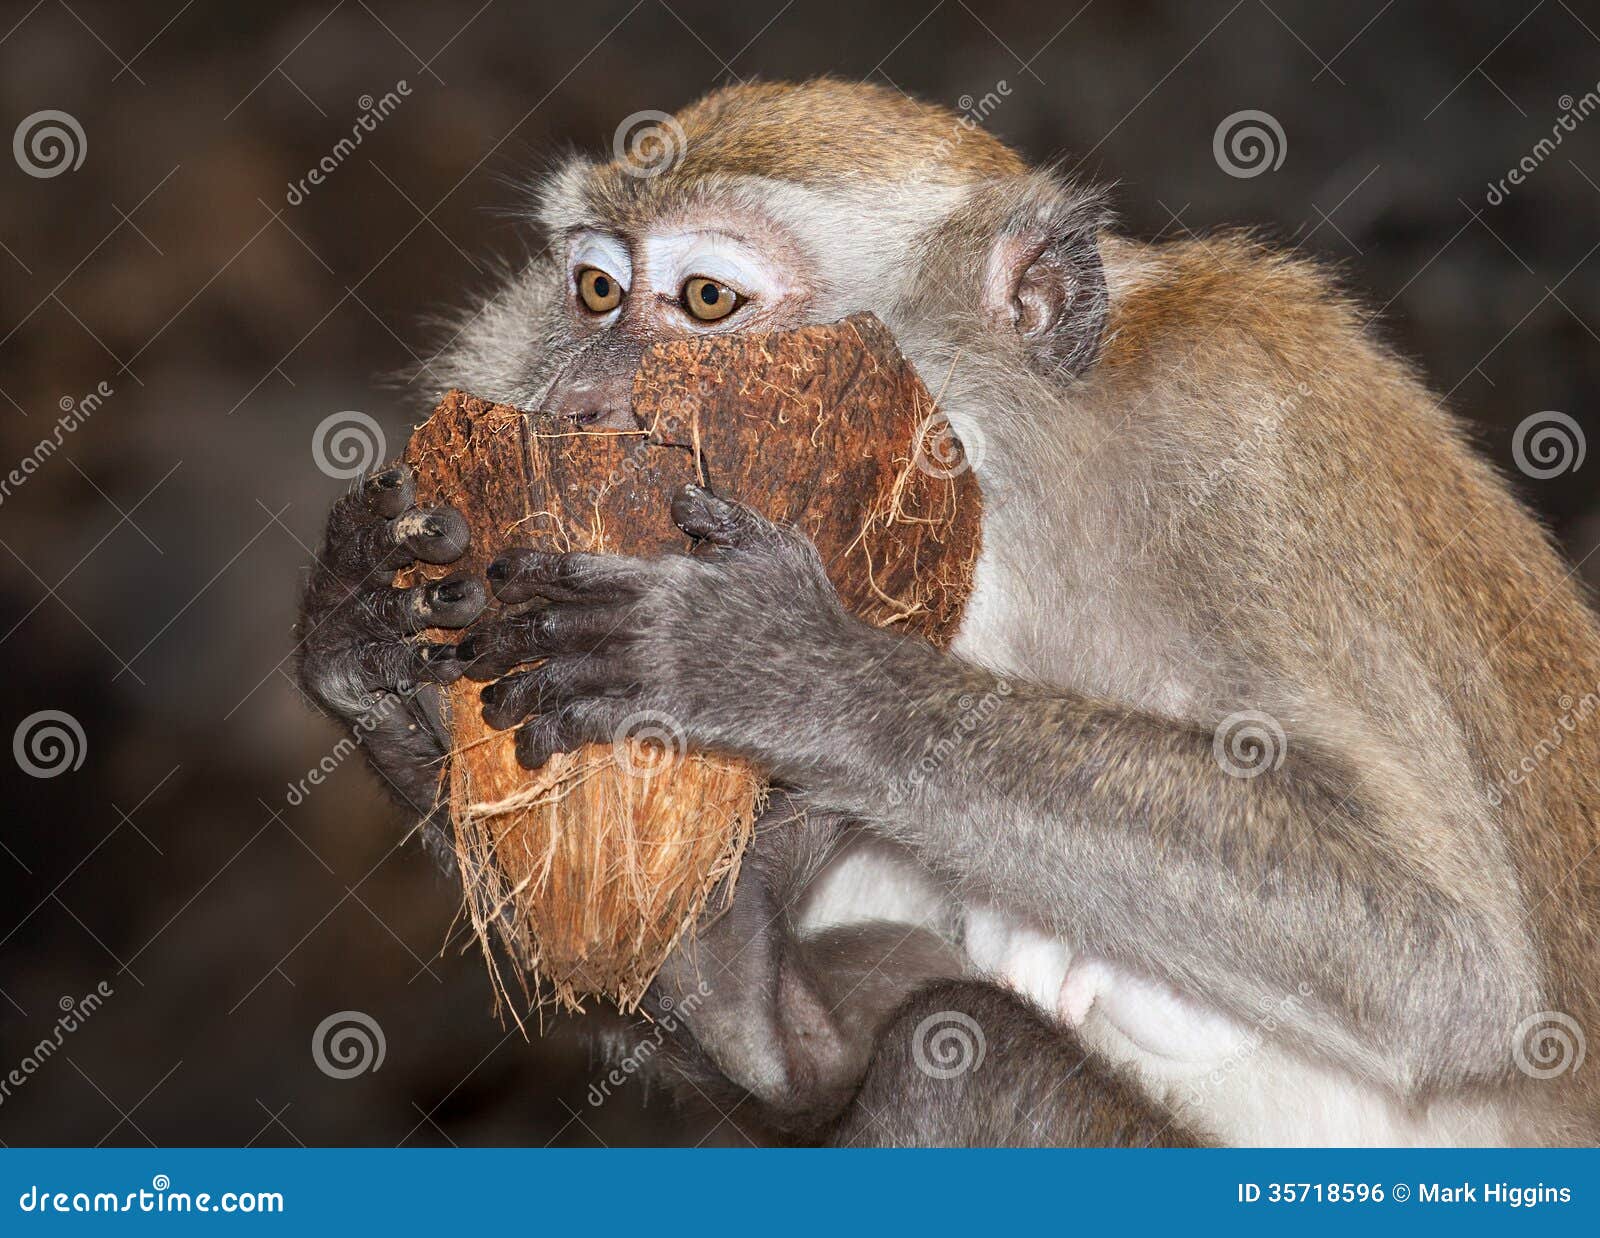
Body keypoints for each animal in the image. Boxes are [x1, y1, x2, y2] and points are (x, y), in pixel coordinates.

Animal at [297, 79, 1600, 1147]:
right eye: (596, 291)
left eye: (706, 299)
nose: (574, 403)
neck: (1013, 527)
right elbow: (798, 1074)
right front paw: (382, 667)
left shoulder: (1238, 437)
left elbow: (1441, 953)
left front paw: (776, 668)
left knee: (954, 1065)